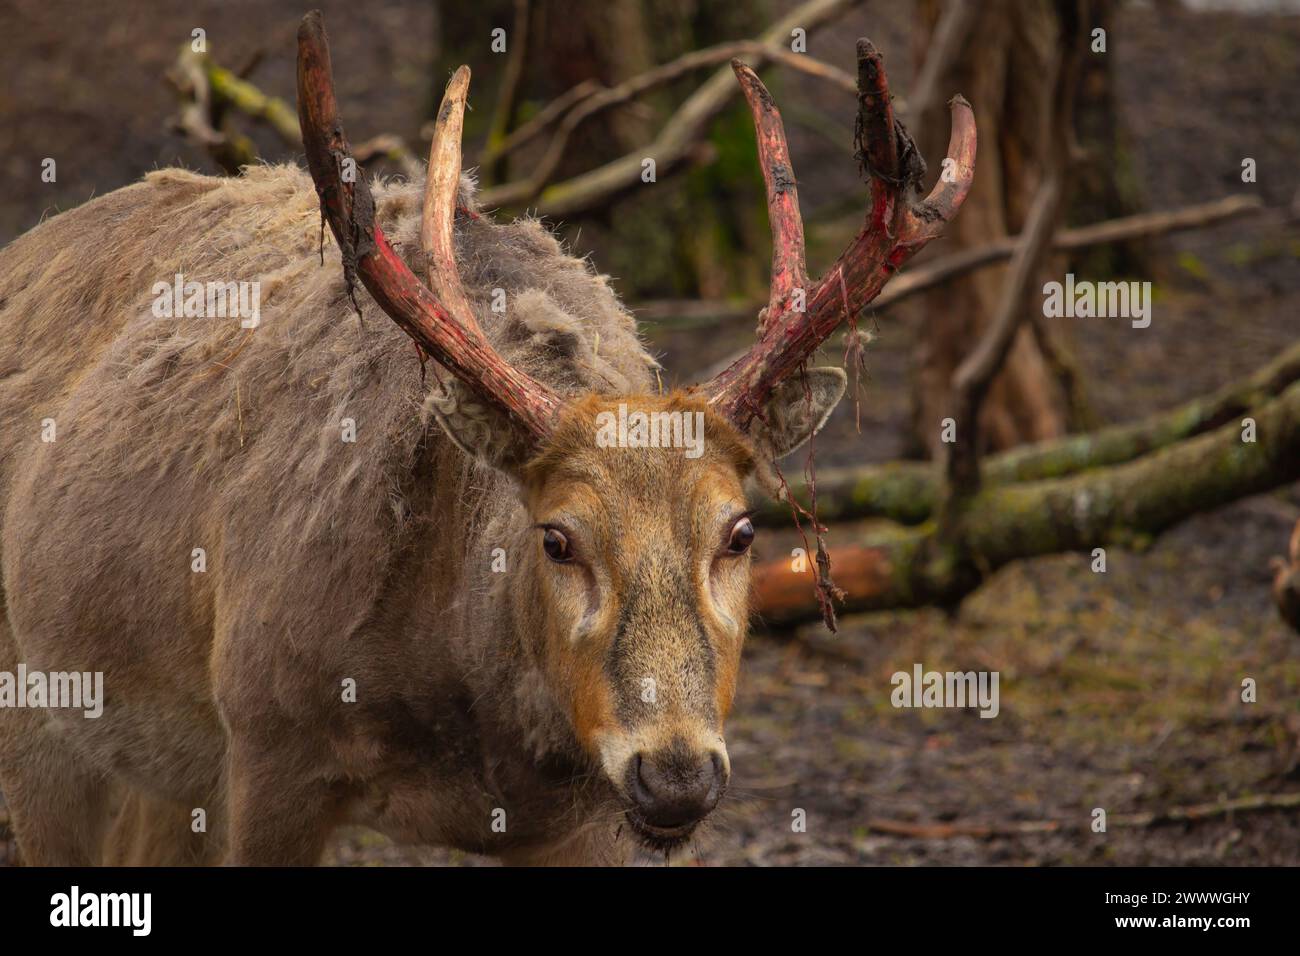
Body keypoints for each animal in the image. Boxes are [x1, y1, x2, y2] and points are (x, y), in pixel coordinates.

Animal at [0, 12, 974, 865]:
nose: (676, 777)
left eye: (740, 533)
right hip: (40, 707)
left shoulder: (585, 820)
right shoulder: (265, 741)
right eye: (557, 538)